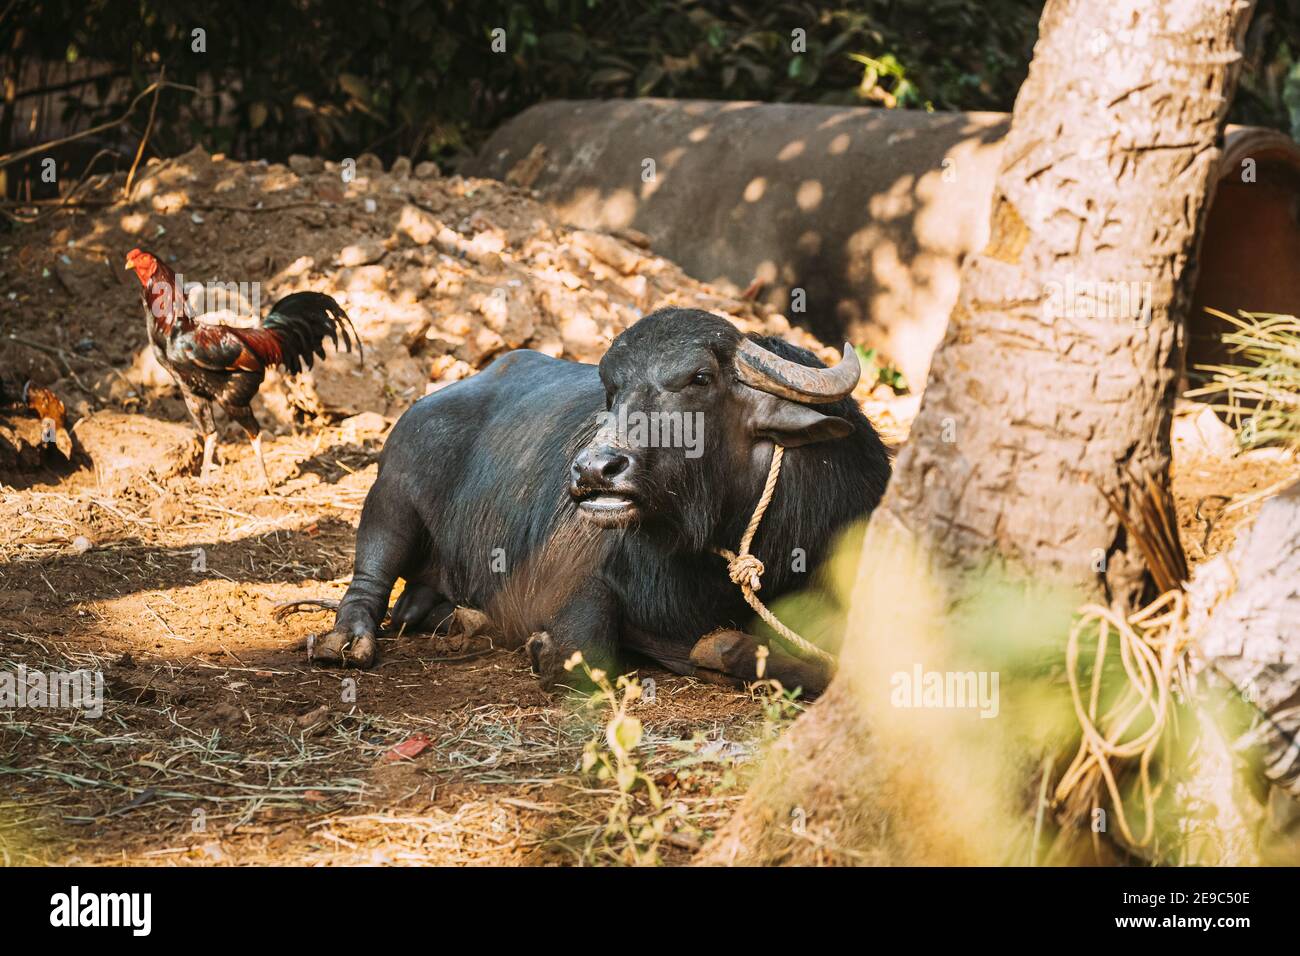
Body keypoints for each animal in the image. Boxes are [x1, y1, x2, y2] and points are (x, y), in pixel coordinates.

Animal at [309, 308, 891, 689]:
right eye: (611, 389)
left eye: (701, 378)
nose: (595, 468)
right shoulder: (577, 576)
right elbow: (587, 650)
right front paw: (545, 649)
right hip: (391, 496)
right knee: (370, 578)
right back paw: (348, 642)